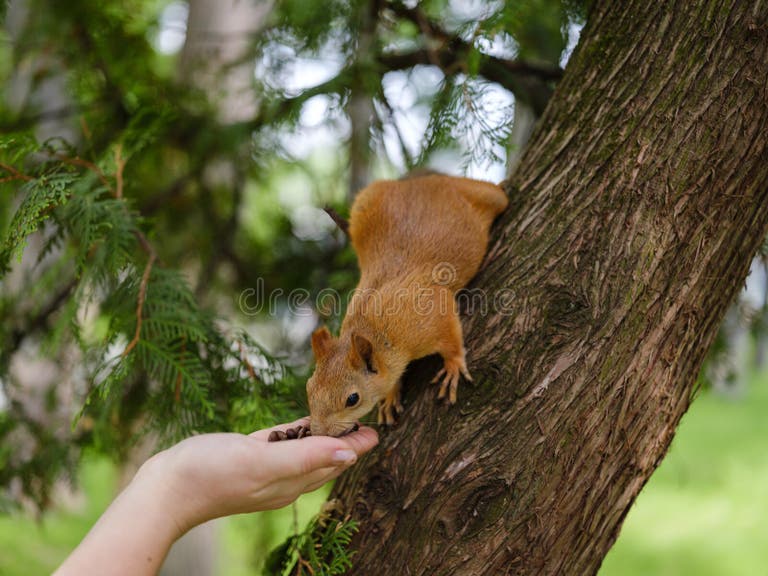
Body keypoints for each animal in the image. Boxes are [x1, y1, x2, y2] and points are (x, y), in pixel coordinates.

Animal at [307, 173, 508, 437]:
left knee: (494, 193)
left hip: (483, 196)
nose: (319, 432)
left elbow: (451, 338)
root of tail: (421, 180)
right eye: (309, 388)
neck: (375, 330)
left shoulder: (428, 311)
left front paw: (453, 365)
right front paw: (390, 396)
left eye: (352, 399)